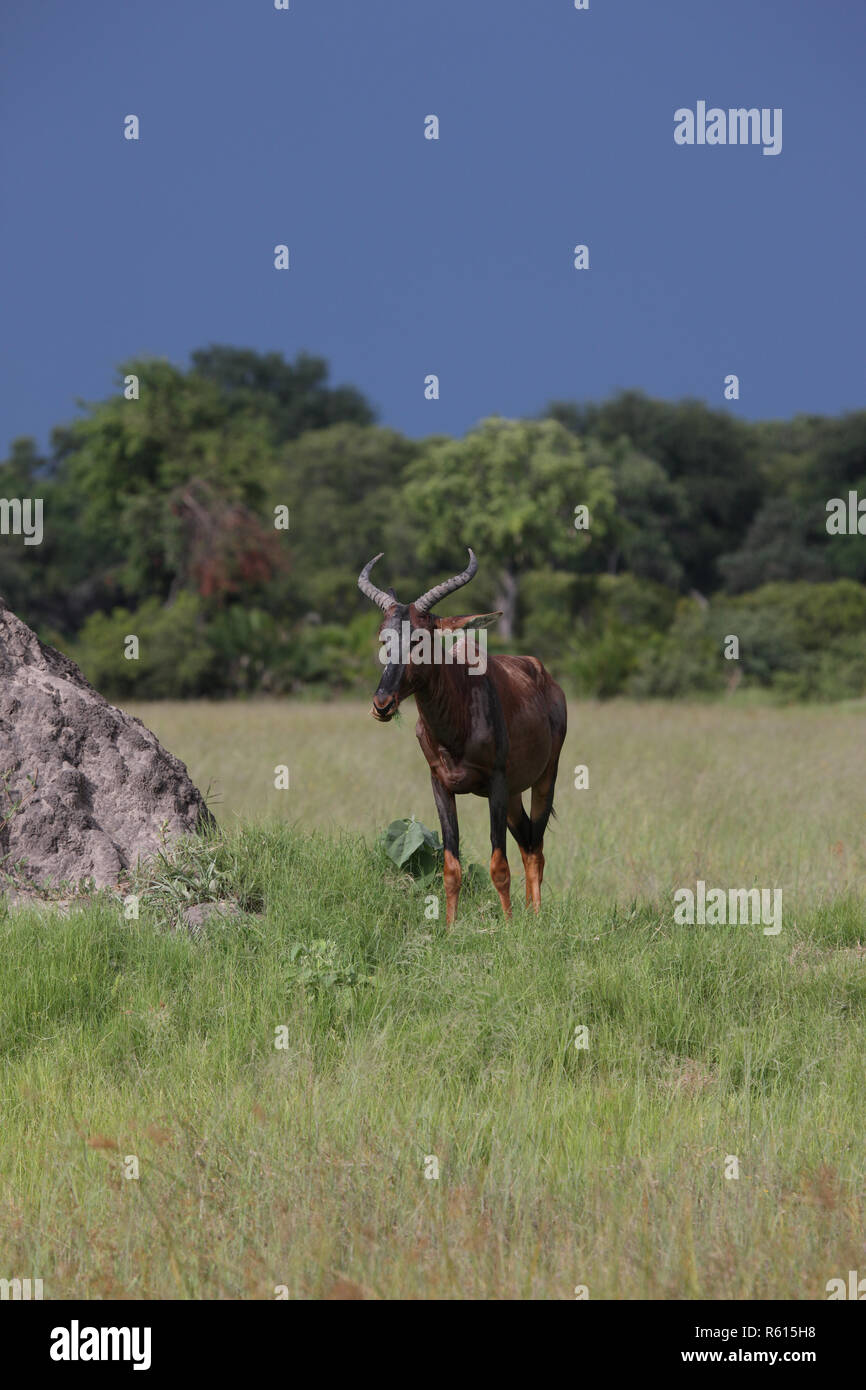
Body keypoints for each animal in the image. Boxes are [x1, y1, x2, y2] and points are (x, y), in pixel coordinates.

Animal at [358, 549, 567, 924]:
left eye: (419, 638)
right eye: (384, 637)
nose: (382, 703)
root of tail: (547, 679)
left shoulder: (496, 783)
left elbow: (499, 865)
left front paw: (508, 926)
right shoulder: (440, 785)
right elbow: (451, 866)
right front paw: (451, 928)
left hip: (543, 779)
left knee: (536, 846)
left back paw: (535, 918)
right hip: (513, 795)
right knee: (527, 839)